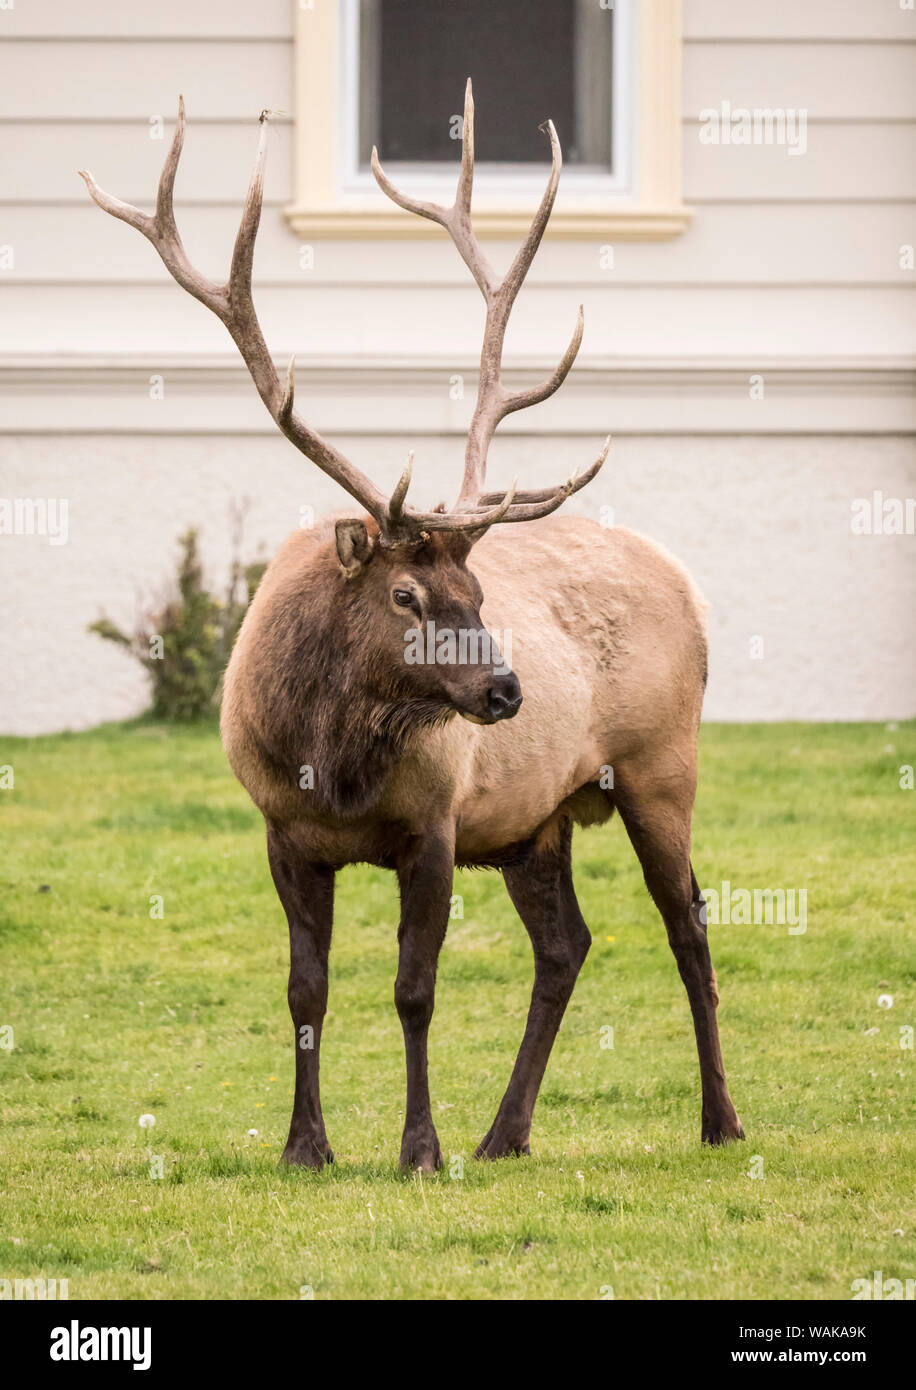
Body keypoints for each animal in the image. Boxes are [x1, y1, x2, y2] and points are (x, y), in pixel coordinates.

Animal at [80, 83, 744, 1171]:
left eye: (475, 589)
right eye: (406, 596)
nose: (506, 689)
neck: (335, 760)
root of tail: (687, 585)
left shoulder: (436, 826)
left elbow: (414, 991)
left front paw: (417, 1147)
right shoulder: (283, 832)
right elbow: (305, 991)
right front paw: (305, 1147)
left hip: (659, 763)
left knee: (687, 923)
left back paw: (719, 1120)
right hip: (535, 822)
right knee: (567, 946)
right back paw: (506, 1133)